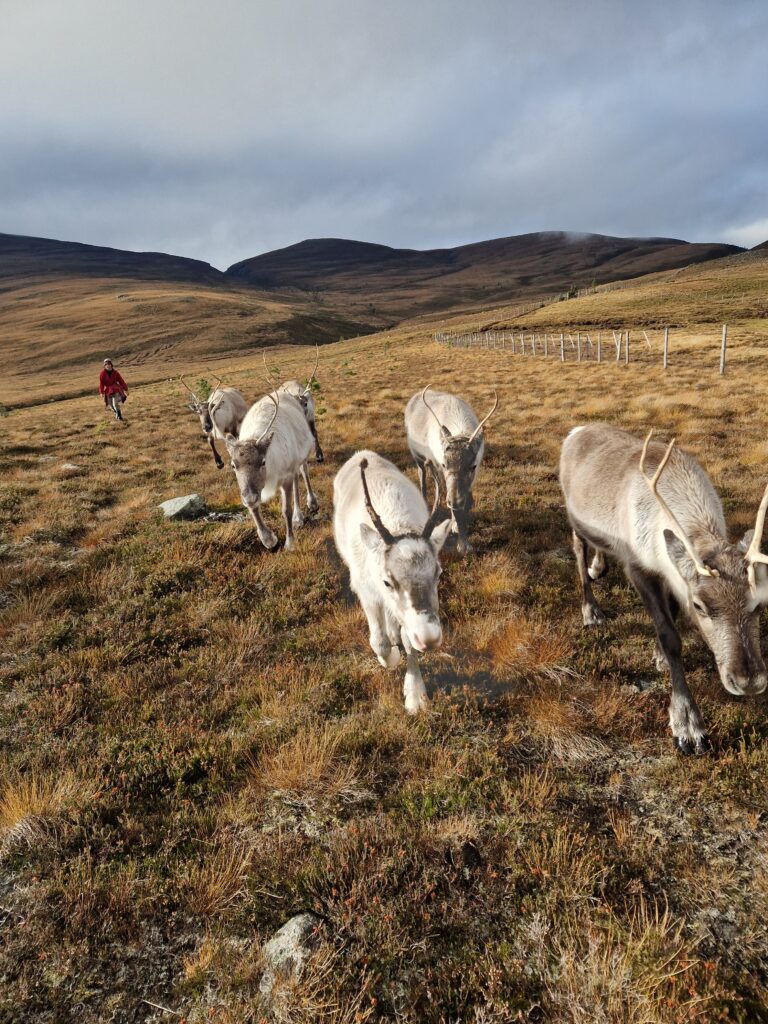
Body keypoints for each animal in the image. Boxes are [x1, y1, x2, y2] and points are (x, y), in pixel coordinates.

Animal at [225, 392, 319, 550]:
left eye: (263, 462)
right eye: (233, 465)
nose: (249, 497)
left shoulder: (285, 477)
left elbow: (286, 510)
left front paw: (290, 543)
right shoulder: (251, 490)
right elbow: (254, 508)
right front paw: (268, 539)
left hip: (302, 456)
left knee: (304, 472)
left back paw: (311, 504)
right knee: (296, 479)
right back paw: (298, 517)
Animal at [333, 451, 453, 713]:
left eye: (438, 573)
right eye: (386, 581)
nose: (430, 639)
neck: (398, 524)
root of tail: (362, 453)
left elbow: (409, 641)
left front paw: (416, 695)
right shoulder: (366, 591)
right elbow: (379, 642)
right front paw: (392, 658)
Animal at [404, 385, 498, 554]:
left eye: (473, 466)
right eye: (444, 464)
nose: (454, 500)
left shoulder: (472, 477)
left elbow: (467, 503)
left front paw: (461, 535)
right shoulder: (437, 466)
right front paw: (462, 546)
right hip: (418, 457)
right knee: (422, 474)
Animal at [559, 423, 768, 754]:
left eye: (760, 604)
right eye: (699, 605)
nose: (748, 681)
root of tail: (575, 430)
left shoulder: (671, 573)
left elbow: (670, 616)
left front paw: (658, 656)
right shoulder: (639, 568)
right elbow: (670, 635)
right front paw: (688, 724)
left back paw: (598, 566)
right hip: (574, 515)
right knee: (579, 548)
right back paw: (591, 610)